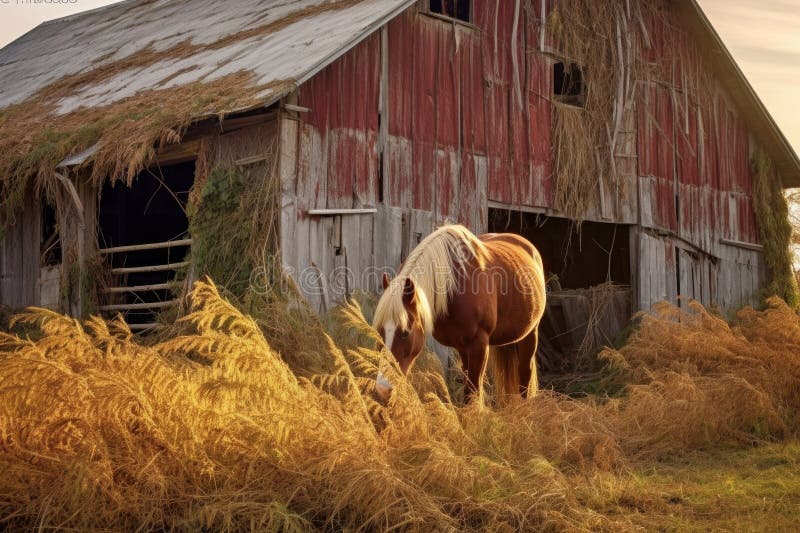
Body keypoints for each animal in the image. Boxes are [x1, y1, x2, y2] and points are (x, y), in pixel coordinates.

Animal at [372, 224, 546, 403]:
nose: (383, 389)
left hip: (530, 334)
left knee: (525, 374)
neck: (455, 286)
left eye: (405, 333)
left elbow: (473, 392)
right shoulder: (462, 346)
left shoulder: (479, 345)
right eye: (380, 331)